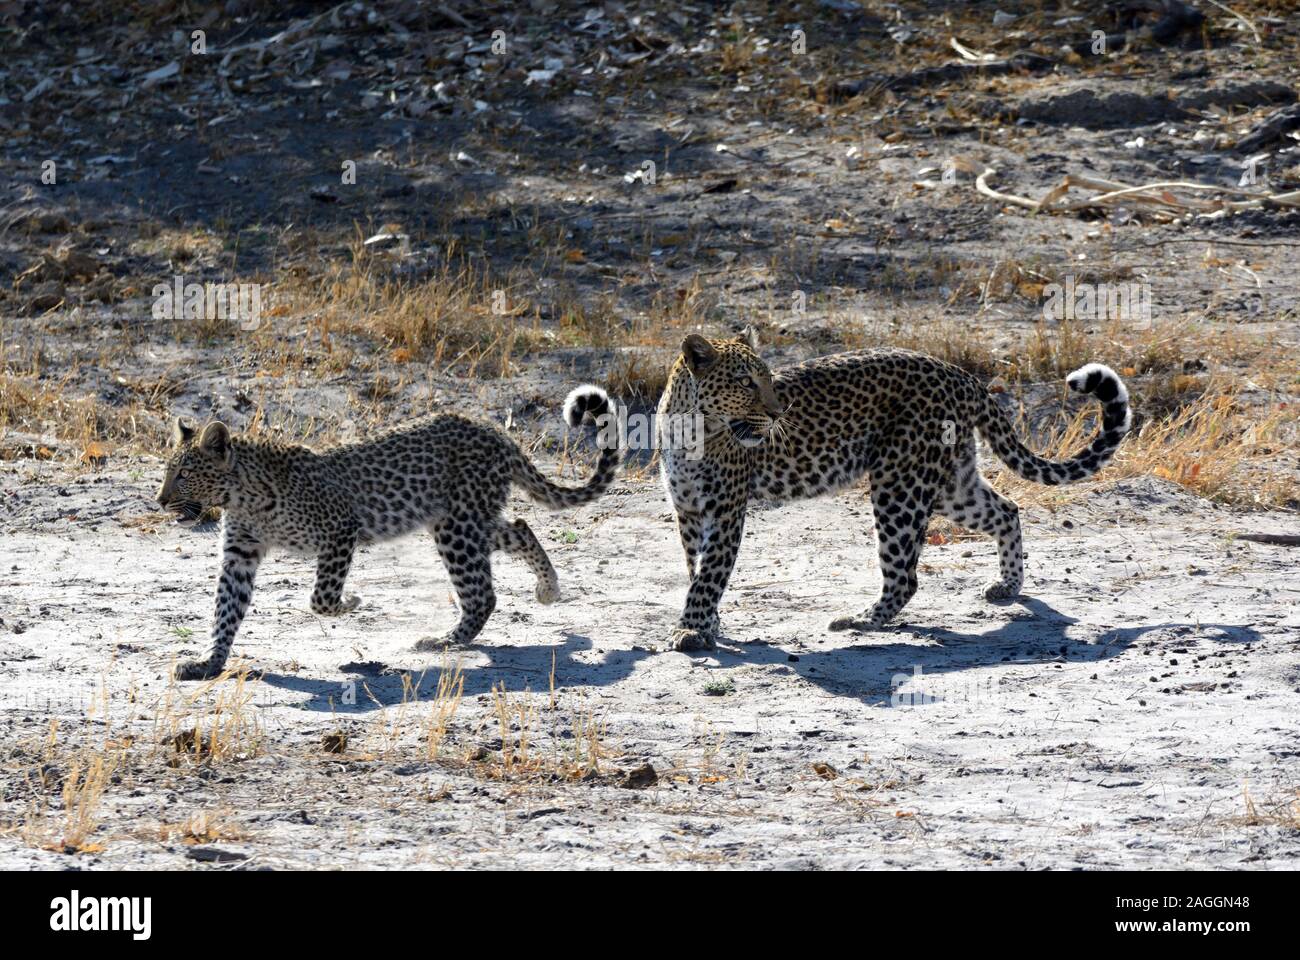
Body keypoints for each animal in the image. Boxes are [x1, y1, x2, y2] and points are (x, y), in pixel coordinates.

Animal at [156, 385, 616, 680]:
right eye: (168, 472)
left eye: (184, 475)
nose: (160, 501)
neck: (242, 496)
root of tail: (497, 432)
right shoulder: (240, 553)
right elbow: (226, 609)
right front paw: (209, 663)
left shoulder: (340, 528)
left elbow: (321, 598)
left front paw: (352, 602)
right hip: (462, 519)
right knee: (520, 528)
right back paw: (548, 588)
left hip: (458, 525)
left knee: (483, 591)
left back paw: (444, 641)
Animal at [655, 328, 1131, 651]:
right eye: (744, 382)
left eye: (768, 379)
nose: (777, 413)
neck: (690, 430)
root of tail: (962, 375)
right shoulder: (688, 511)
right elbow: (696, 568)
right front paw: (709, 625)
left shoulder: (726, 509)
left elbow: (709, 574)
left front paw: (691, 629)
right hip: (950, 482)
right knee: (1006, 509)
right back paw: (1007, 586)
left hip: (900, 484)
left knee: (905, 575)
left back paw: (861, 620)